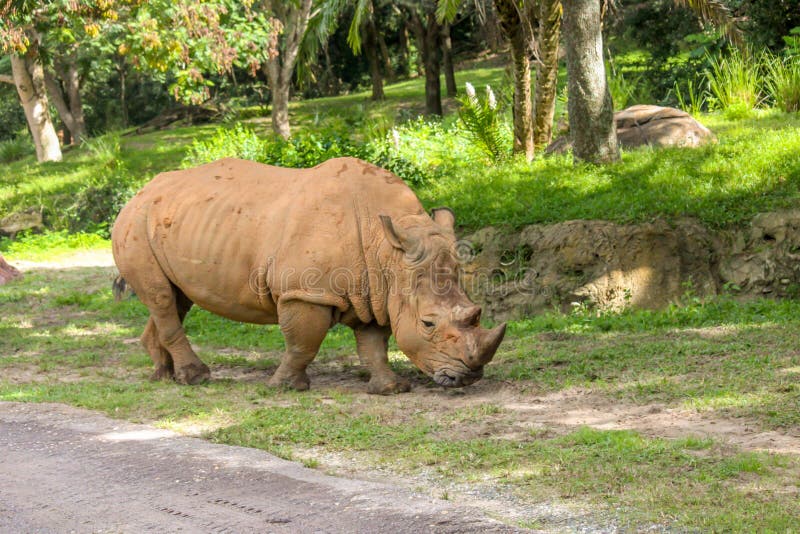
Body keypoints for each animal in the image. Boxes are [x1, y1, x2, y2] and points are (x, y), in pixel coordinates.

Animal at [112, 157, 506, 394]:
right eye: (428, 324)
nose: (470, 376)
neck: (387, 253)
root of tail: (138, 192)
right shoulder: (305, 292)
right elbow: (304, 342)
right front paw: (285, 387)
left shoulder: (376, 290)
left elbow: (373, 344)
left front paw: (390, 389)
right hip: (135, 222)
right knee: (163, 298)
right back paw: (195, 378)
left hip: (168, 221)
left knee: (174, 299)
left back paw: (162, 375)